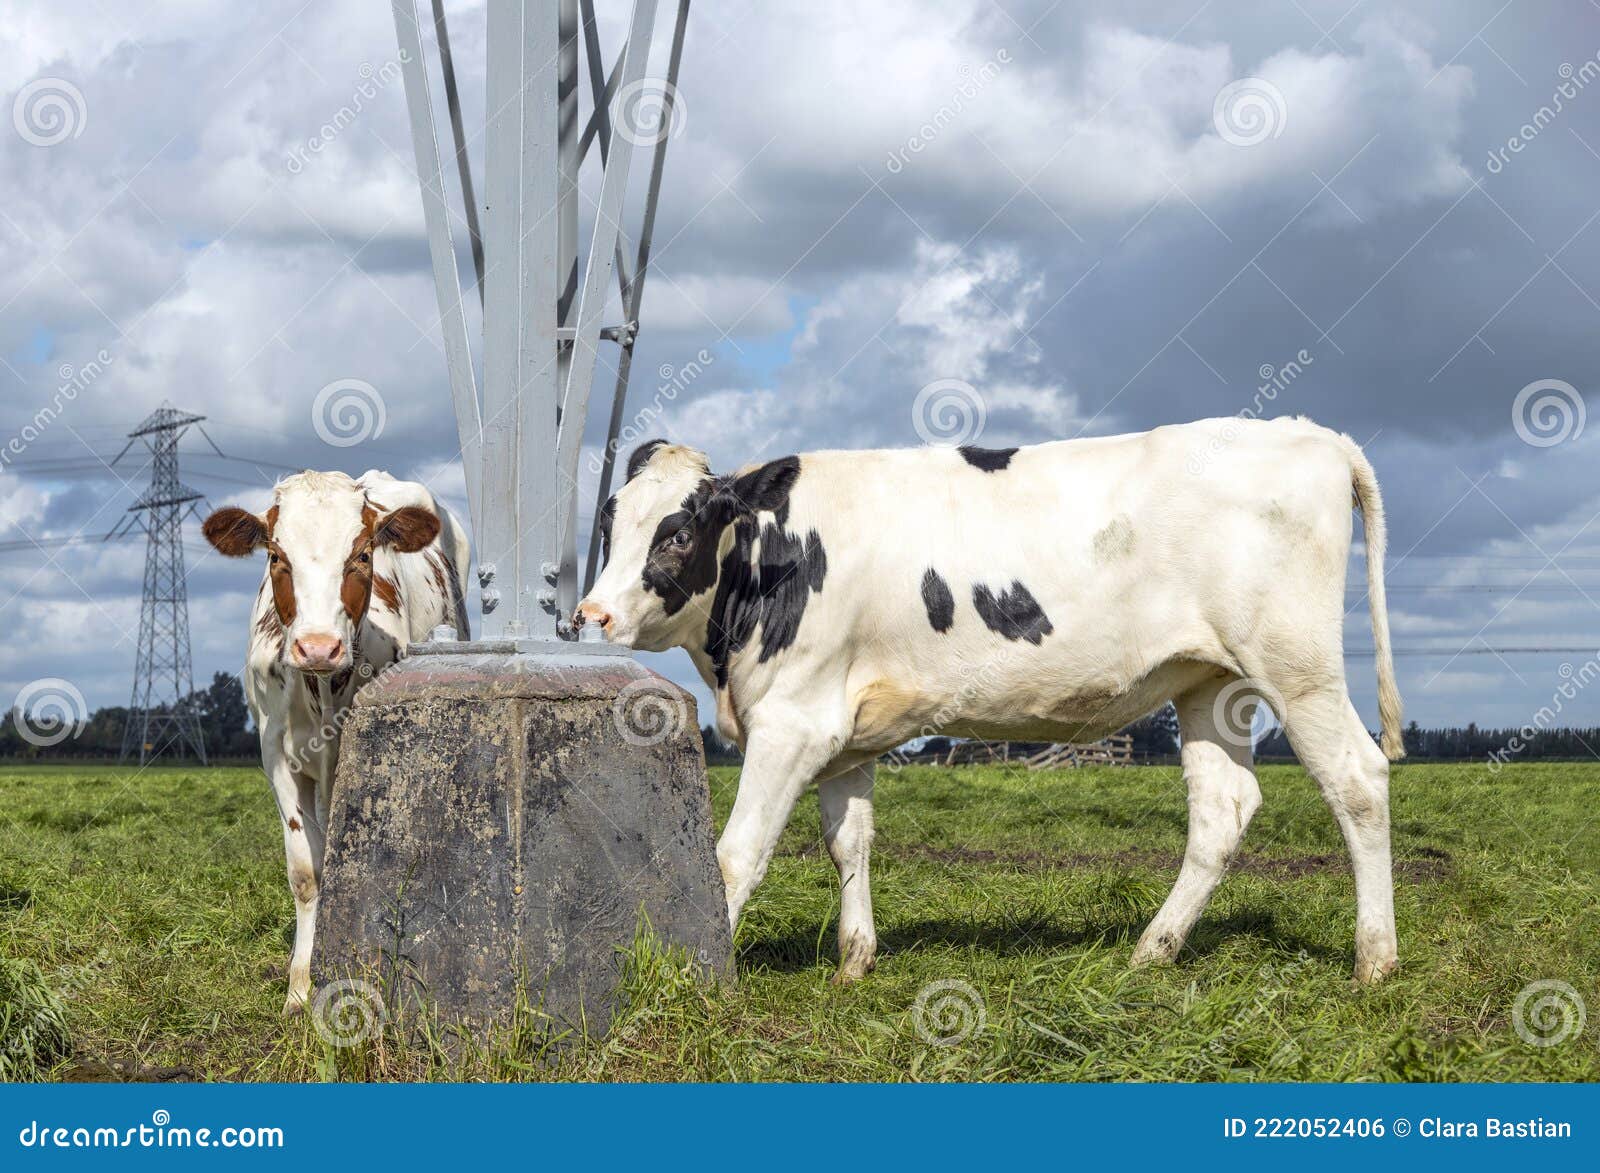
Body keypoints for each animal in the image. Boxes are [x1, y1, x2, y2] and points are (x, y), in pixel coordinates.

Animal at [202, 470, 471, 1013]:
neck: (321, 690)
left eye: (363, 555)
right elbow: (308, 873)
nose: (319, 647)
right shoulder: (276, 759)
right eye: (276, 556)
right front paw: (300, 986)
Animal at [576, 416, 1405, 985]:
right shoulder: (844, 730)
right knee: (1222, 809)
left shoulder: (792, 721)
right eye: (610, 522)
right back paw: (1152, 950)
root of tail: (1312, 433)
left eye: (678, 533)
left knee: (1357, 779)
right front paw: (854, 960)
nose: (593, 615)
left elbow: (734, 856)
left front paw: (698, 974)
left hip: (1296, 663)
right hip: (1208, 680)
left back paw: (1375, 960)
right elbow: (850, 842)